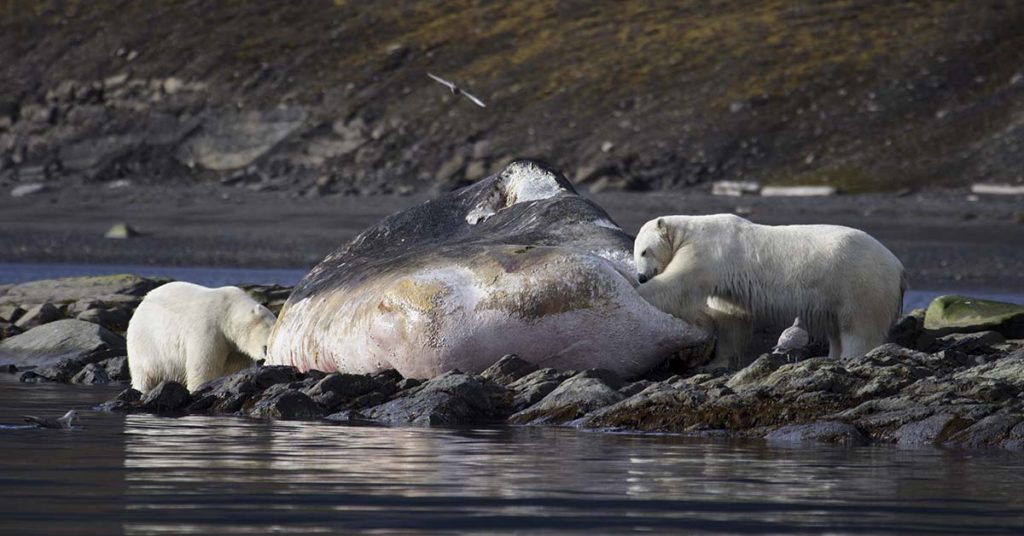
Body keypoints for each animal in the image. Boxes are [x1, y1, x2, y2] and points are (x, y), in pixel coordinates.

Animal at [126, 281, 277, 392]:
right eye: (272, 327)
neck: (227, 312)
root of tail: (142, 302)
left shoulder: (236, 349)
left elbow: (236, 368)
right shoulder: (209, 329)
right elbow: (203, 367)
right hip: (146, 341)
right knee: (144, 373)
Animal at [633, 214, 905, 365]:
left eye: (645, 251)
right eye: (637, 253)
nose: (641, 276)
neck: (688, 232)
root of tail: (899, 266)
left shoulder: (706, 252)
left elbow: (678, 284)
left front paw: (637, 291)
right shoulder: (728, 284)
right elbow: (732, 320)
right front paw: (718, 362)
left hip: (861, 283)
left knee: (859, 328)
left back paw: (851, 356)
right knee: (837, 327)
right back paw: (833, 356)